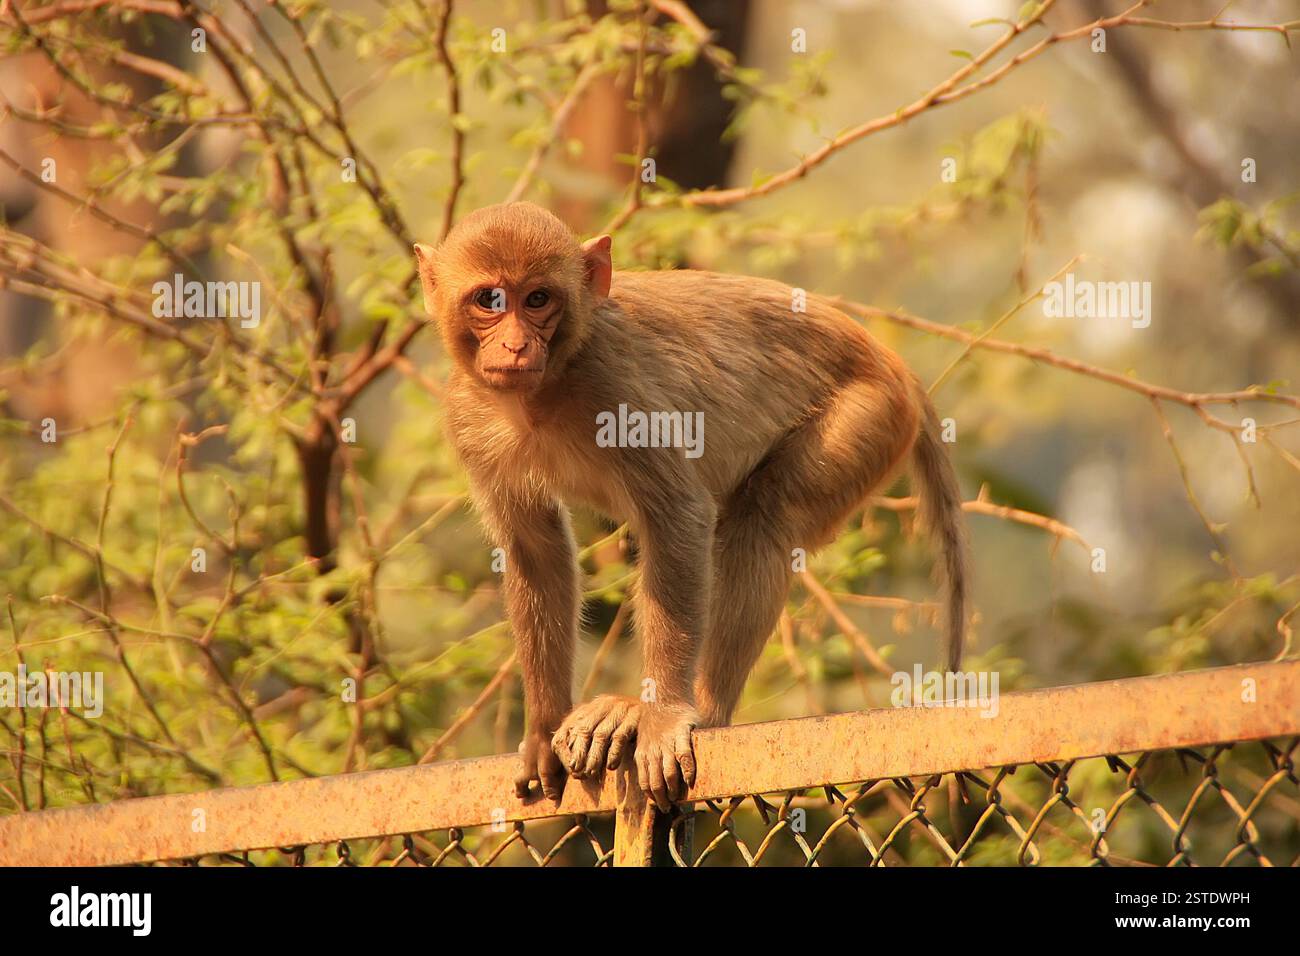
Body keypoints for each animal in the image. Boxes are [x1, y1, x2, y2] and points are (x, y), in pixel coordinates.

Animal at [414, 201, 967, 811]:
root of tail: (889, 361)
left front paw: (662, 715)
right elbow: (535, 551)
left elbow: (677, 516)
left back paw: (700, 709)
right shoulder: (468, 415)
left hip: (868, 416)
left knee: (763, 519)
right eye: (490, 299)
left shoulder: (615, 386)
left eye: (538, 299)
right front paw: (542, 728)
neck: (544, 391)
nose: (514, 345)